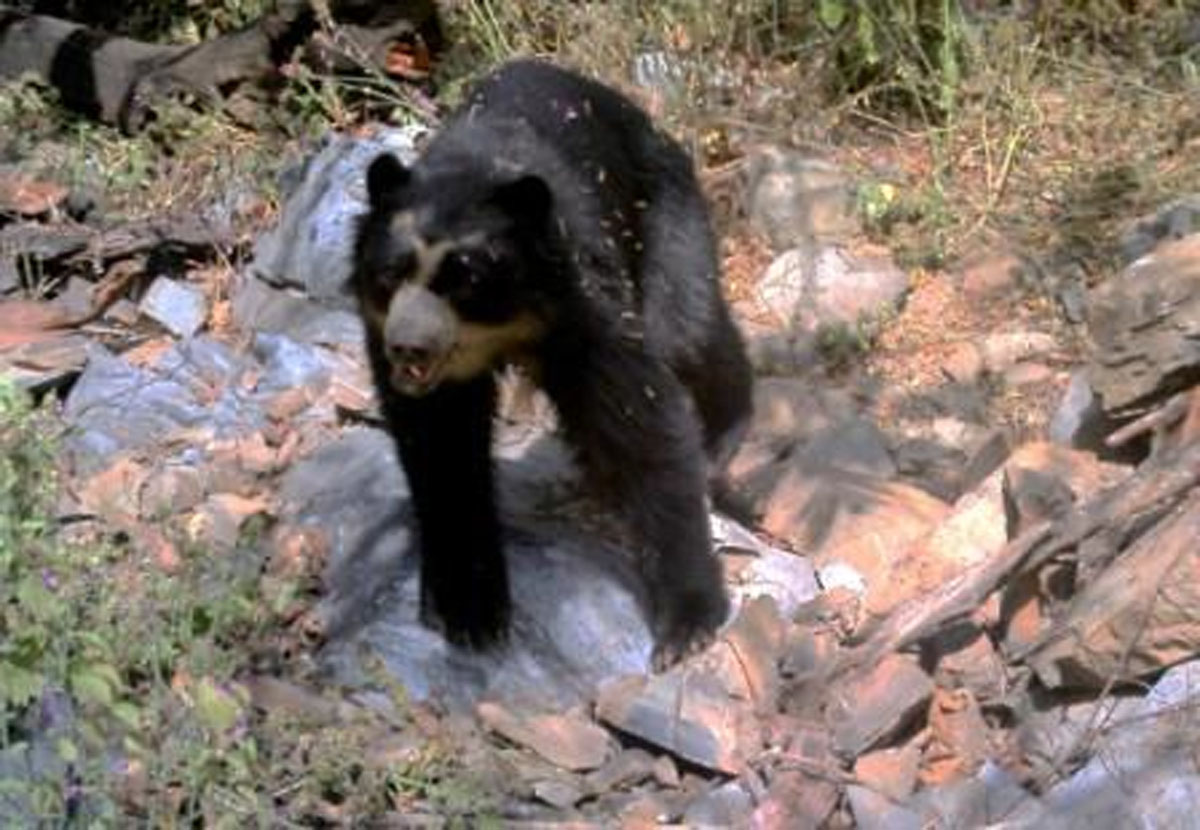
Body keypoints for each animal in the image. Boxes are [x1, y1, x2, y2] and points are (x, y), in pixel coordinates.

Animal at [350, 58, 753, 669]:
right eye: (390, 273)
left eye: (464, 278)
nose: (408, 349)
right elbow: (443, 455)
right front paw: (470, 612)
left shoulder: (585, 303)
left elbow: (642, 421)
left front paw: (688, 621)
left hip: (666, 212)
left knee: (688, 330)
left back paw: (724, 435)